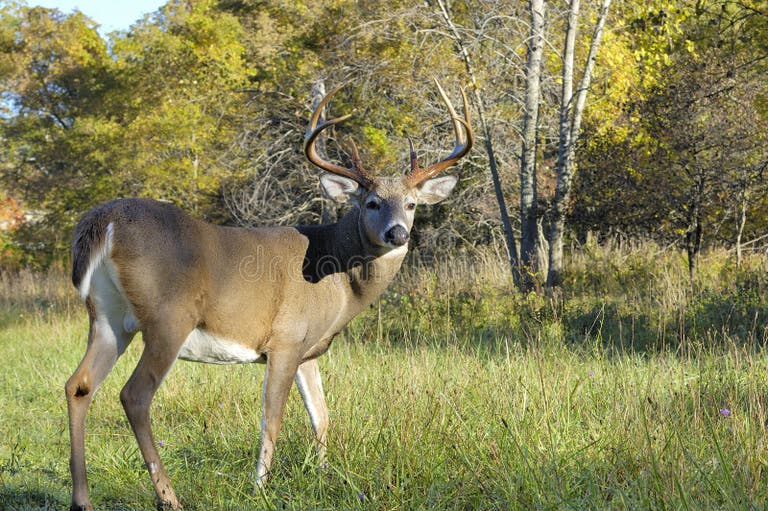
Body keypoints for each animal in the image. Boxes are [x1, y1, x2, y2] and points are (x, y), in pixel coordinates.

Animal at [65, 80, 472, 511]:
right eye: (372, 202)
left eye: (411, 204)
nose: (398, 232)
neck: (338, 277)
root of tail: (103, 222)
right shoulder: (285, 339)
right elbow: (272, 416)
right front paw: (260, 486)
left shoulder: (308, 349)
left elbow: (321, 414)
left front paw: (324, 474)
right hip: (168, 319)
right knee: (135, 395)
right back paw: (169, 497)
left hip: (108, 317)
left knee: (79, 385)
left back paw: (82, 498)